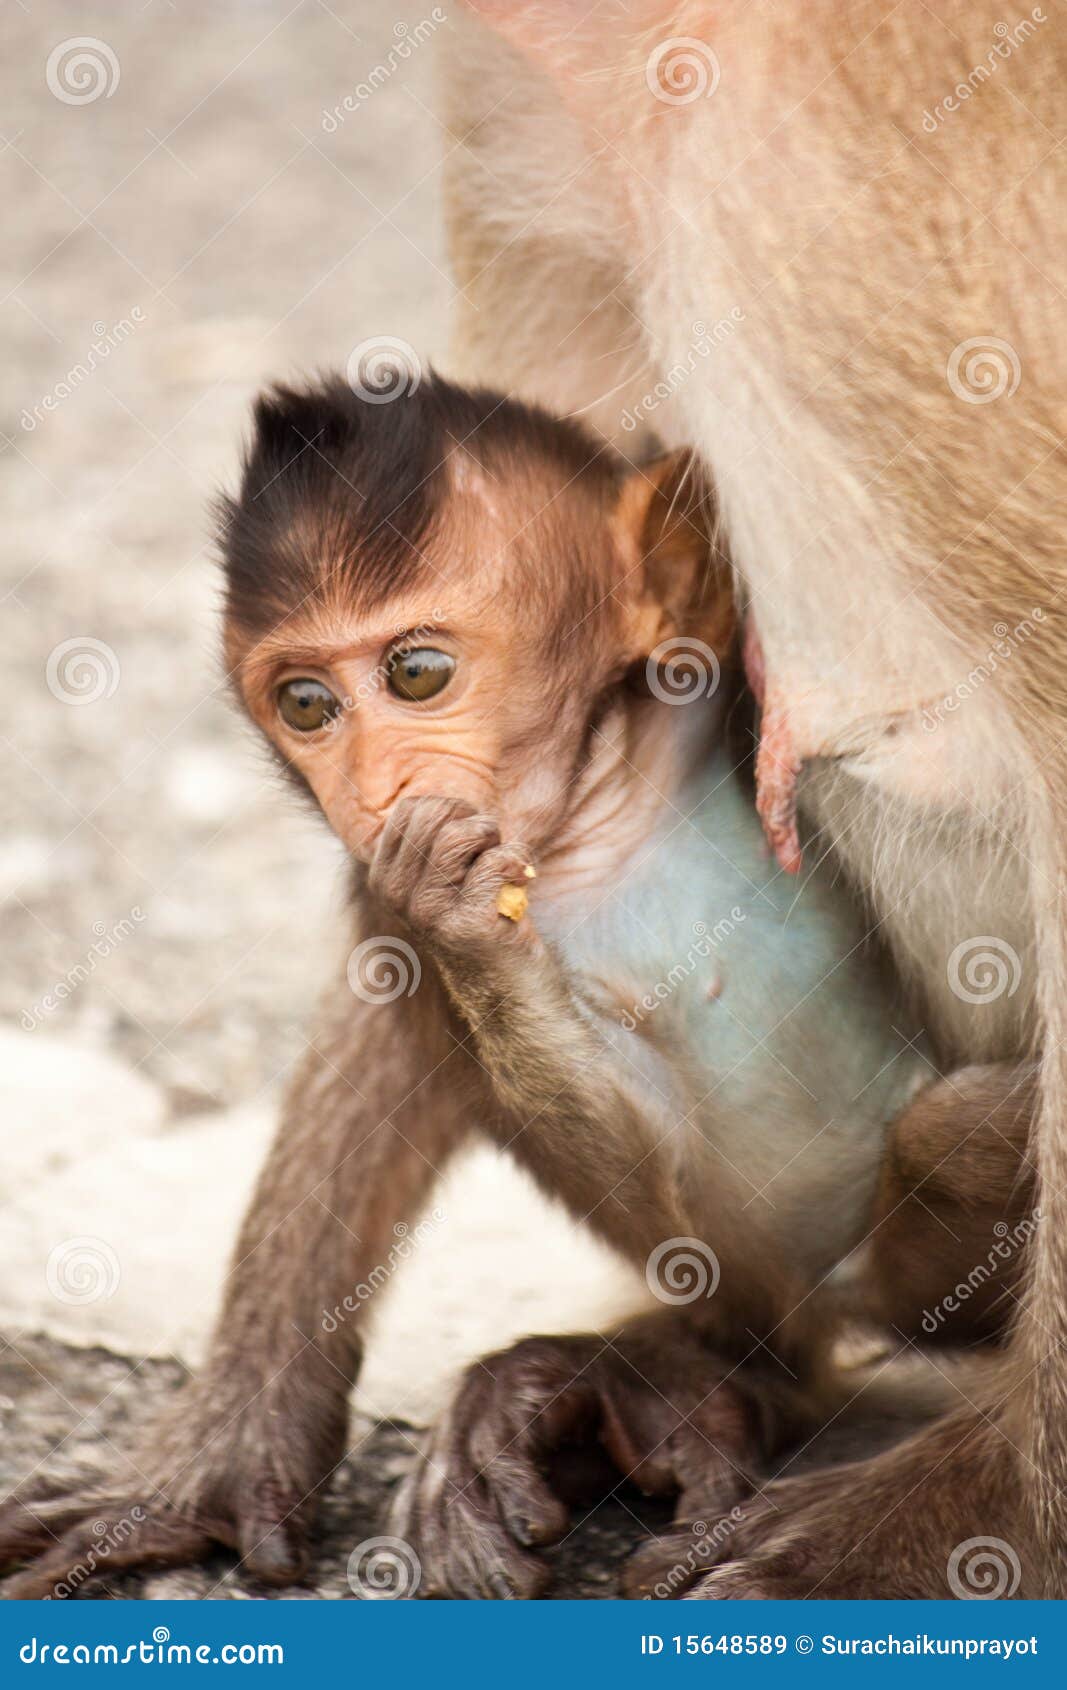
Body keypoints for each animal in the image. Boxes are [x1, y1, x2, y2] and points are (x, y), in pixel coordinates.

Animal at [0, 373, 1037, 1600]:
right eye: (304, 704)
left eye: (415, 674)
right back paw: (684, 1389)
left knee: (961, 1129)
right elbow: (658, 1171)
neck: (594, 824)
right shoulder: (382, 890)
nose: (374, 789)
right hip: (801, 1296)